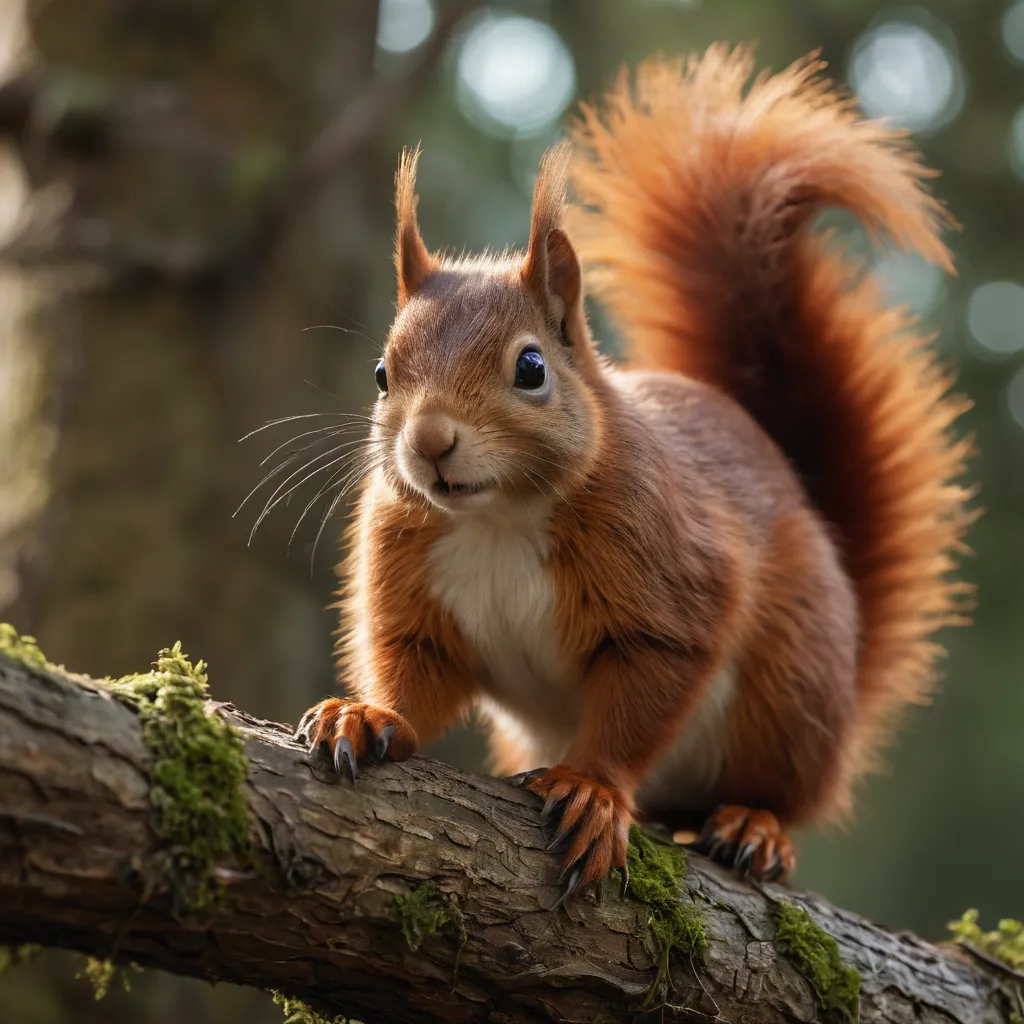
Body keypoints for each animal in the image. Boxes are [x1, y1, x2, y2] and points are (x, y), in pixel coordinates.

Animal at [295, 44, 973, 894]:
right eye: (382, 374)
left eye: (531, 368)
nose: (428, 443)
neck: (499, 517)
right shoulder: (412, 580)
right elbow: (414, 670)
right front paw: (368, 715)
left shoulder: (671, 586)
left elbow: (642, 695)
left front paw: (592, 789)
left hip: (793, 685)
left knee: (778, 790)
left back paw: (755, 825)